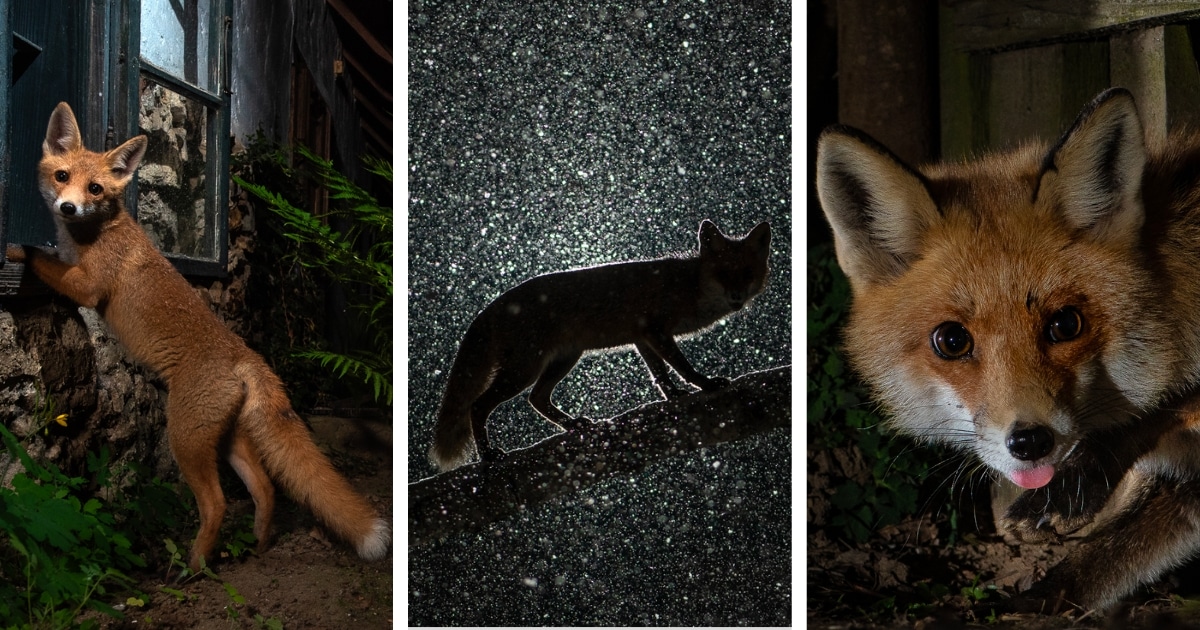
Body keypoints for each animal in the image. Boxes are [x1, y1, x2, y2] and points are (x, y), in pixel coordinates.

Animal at [4, 102, 390, 571]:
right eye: (62, 176)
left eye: (94, 188)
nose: (68, 207)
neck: (95, 233)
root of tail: (245, 355)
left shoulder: (89, 287)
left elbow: (43, 262)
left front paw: (17, 249)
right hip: (226, 439)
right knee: (265, 487)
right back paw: (259, 545)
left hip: (185, 440)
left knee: (218, 503)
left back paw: (193, 567)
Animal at [428, 219, 771, 471]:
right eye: (723, 273)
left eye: (747, 273)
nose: (737, 297)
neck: (690, 286)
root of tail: (490, 307)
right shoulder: (656, 331)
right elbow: (682, 367)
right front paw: (706, 384)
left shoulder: (643, 337)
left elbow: (660, 375)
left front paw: (673, 396)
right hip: (525, 369)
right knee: (478, 405)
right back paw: (487, 455)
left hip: (563, 360)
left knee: (536, 399)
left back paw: (571, 425)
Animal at [816, 87, 1200, 611]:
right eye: (951, 340)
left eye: (1065, 324)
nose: (1030, 442)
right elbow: (1094, 566)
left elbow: (1164, 409)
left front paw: (1070, 488)